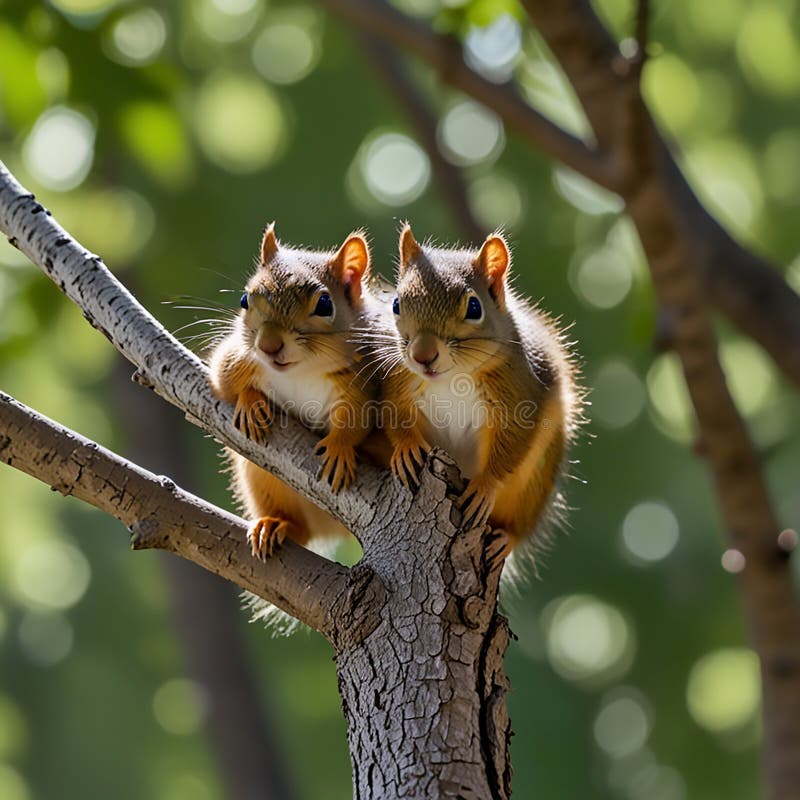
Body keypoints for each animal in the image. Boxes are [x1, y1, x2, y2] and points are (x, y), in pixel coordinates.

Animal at [208, 223, 378, 560]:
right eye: (245, 299)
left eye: (324, 305)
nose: (269, 346)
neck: (301, 371)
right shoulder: (238, 358)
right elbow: (223, 381)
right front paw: (250, 404)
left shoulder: (361, 380)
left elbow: (358, 418)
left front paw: (339, 446)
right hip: (262, 478)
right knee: (298, 529)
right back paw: (274, 525)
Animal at [373, 223, 581, 560]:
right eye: (396, 304)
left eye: (474, 307)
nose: (422, 355)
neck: (450, 378)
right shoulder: (397, 377)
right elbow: (394, 412)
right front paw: (406, 448)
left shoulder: (520, 393)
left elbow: (513, 441)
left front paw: (484, 486)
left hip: (532, 487)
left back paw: (505, 538)